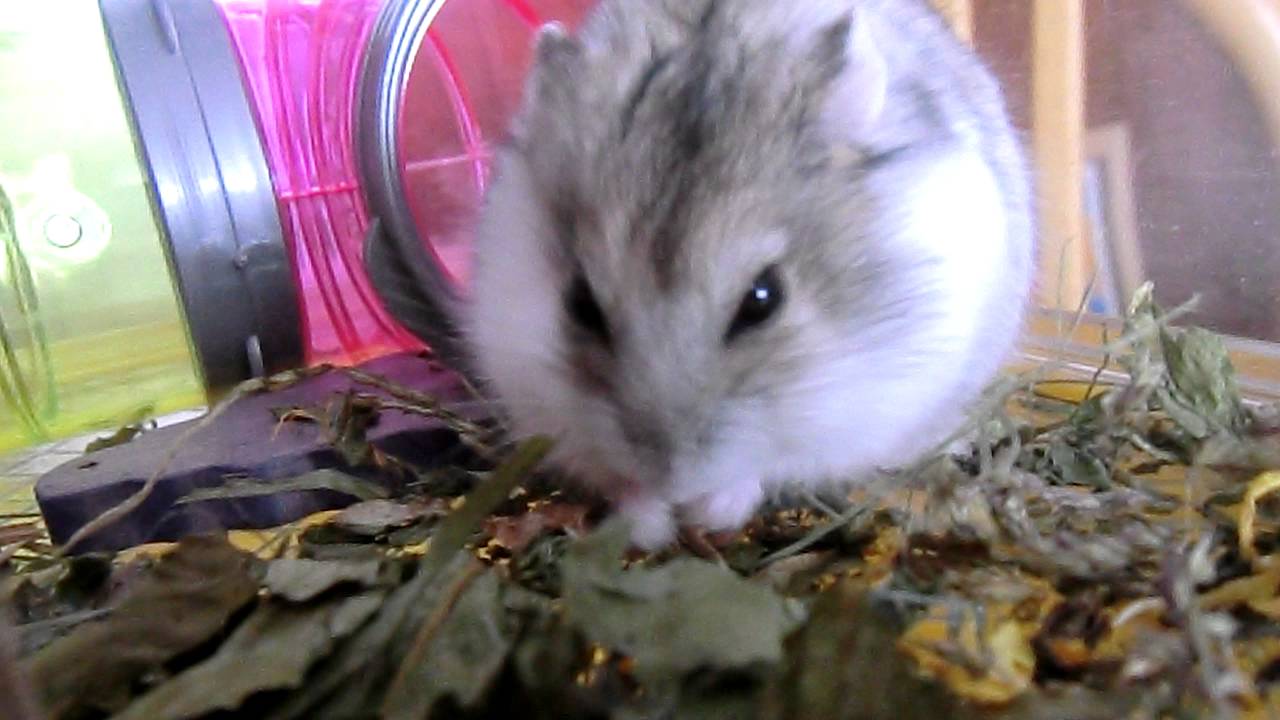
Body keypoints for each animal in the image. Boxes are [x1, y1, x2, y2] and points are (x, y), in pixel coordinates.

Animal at [366, 0, 1035, 549]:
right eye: (579, 303)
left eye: (765, 299)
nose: (671, 476)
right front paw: (650, 521)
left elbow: (770, 463)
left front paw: (708, 510)